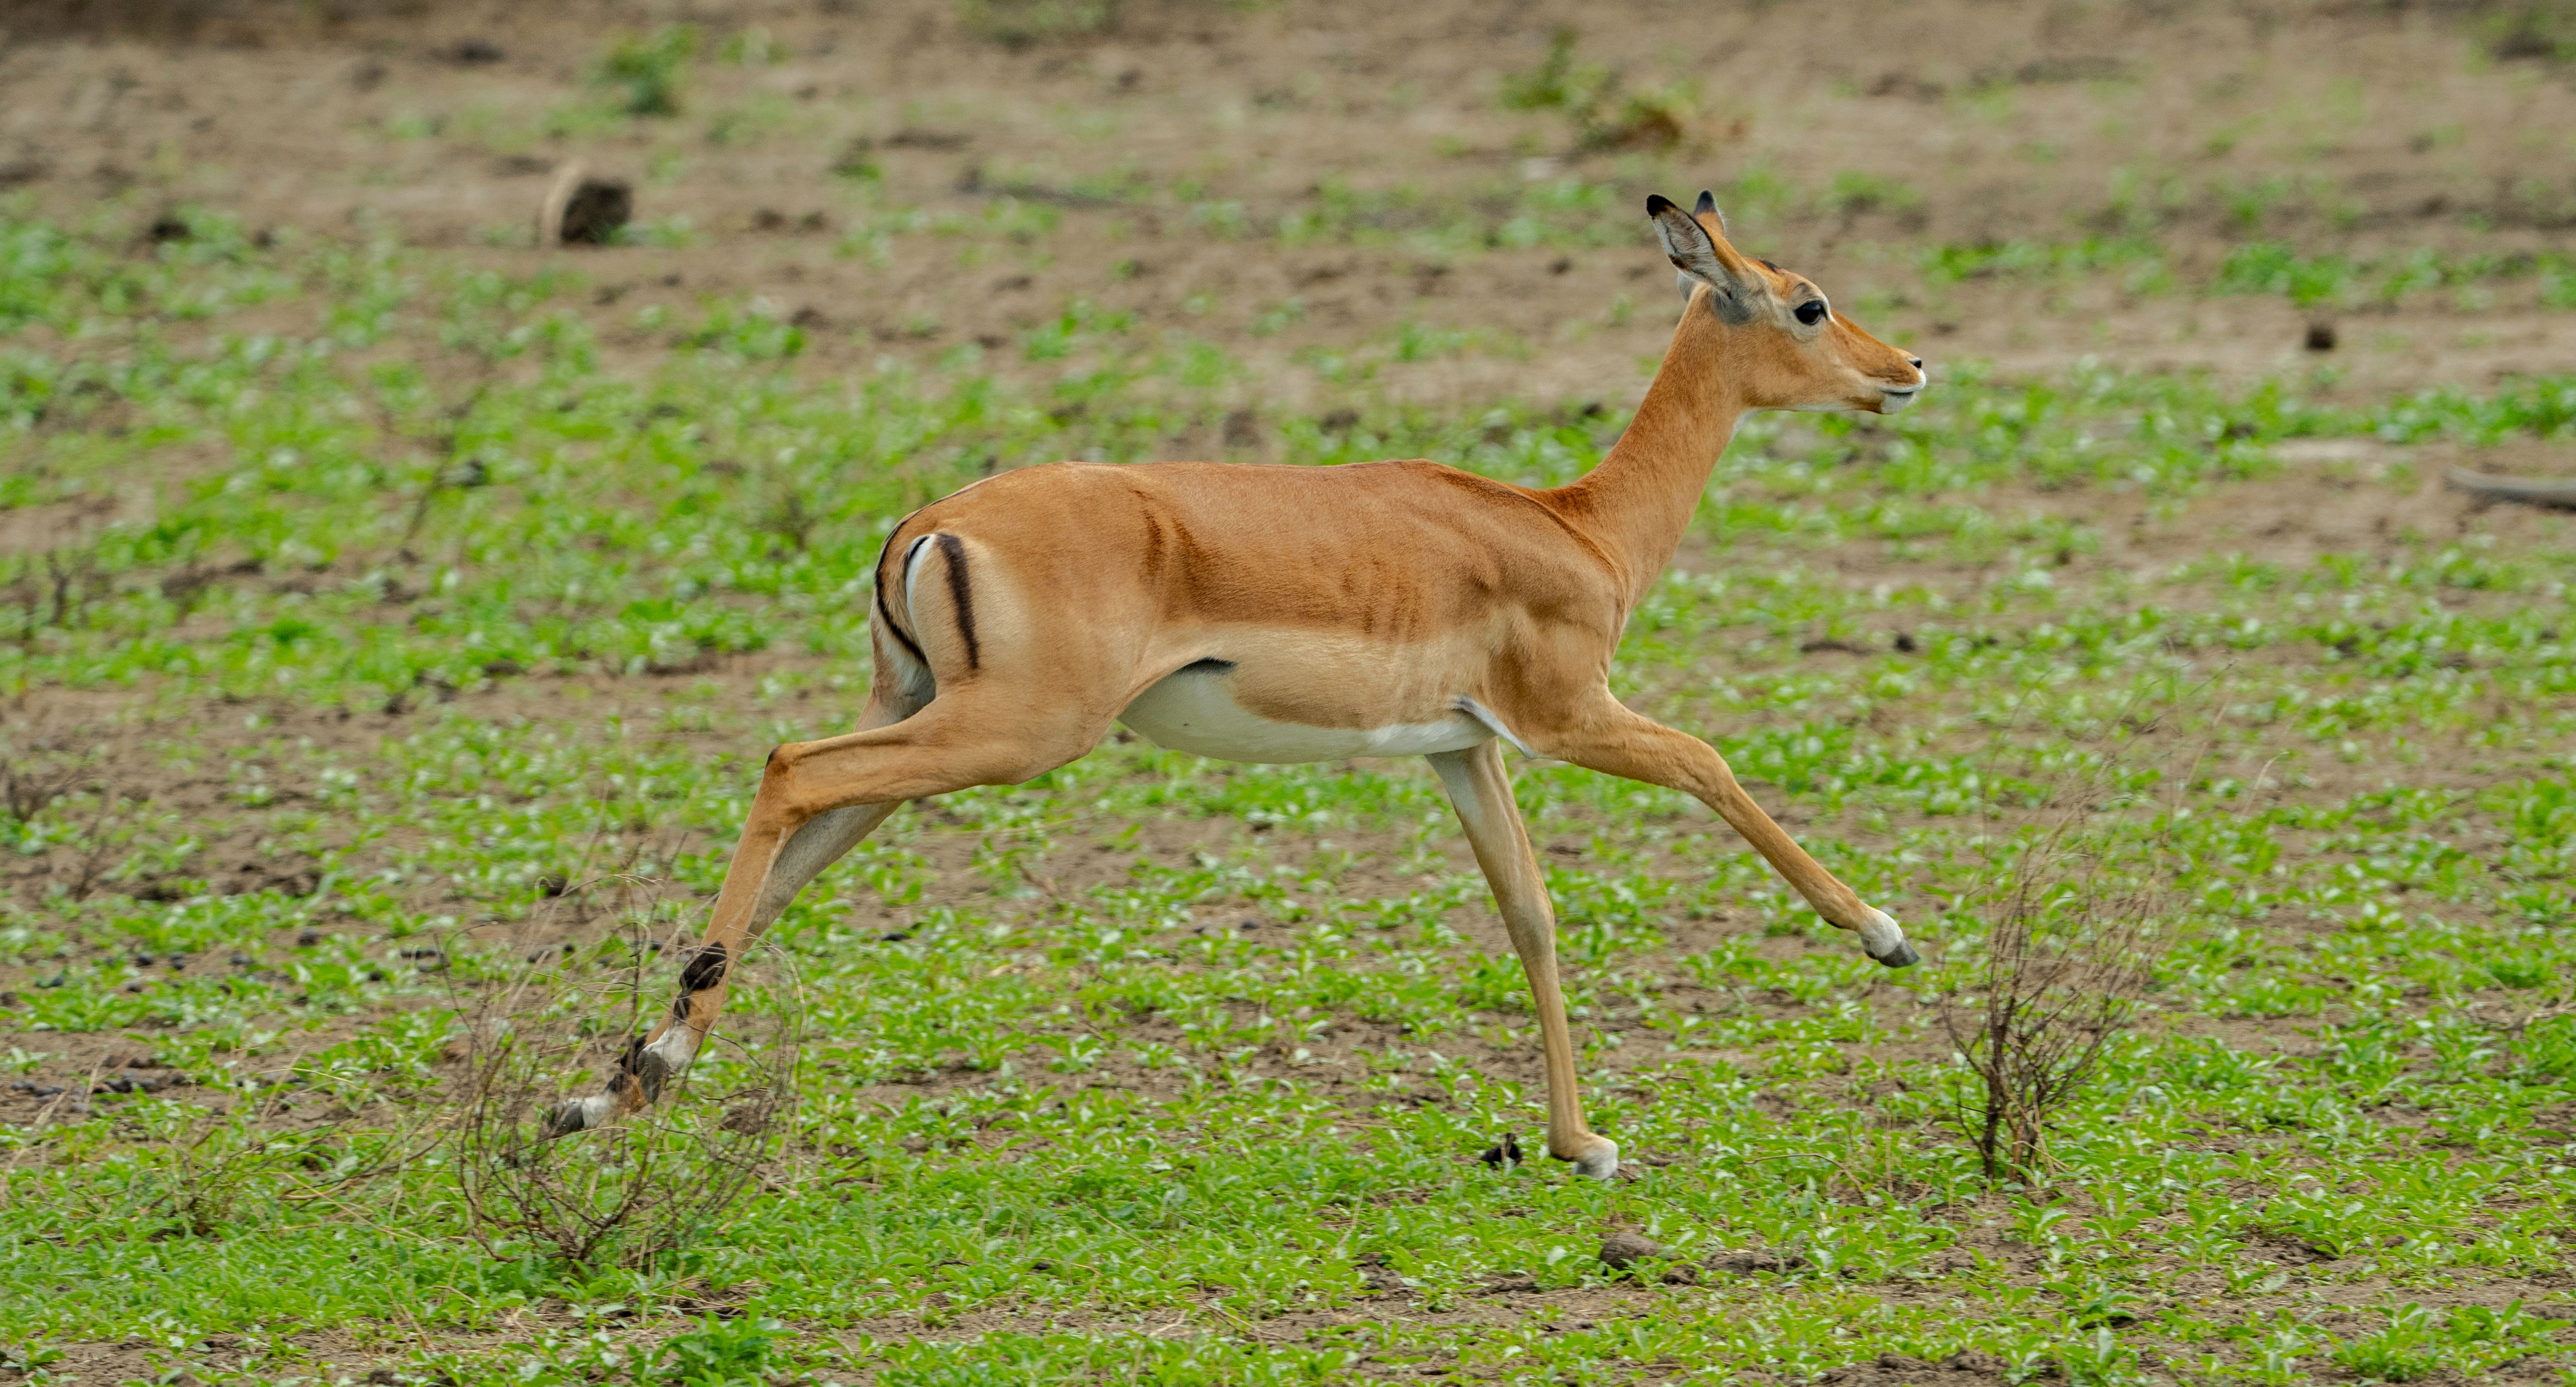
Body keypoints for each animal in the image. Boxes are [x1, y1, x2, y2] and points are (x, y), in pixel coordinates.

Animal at [551, 192, 1930, 1180]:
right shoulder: (1565, 717)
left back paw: (616, 1087)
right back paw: (639, 1074)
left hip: (927, 719)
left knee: (801, 829)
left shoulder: (1461, 747)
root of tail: (929, 524)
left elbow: (1528, 915)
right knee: (791, 766)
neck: (1576, 525)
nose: (1907, 366)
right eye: (1807, 304)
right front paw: (1882, 932)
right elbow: (1707, 759)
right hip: (1010, 733)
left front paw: (1577, 1142)